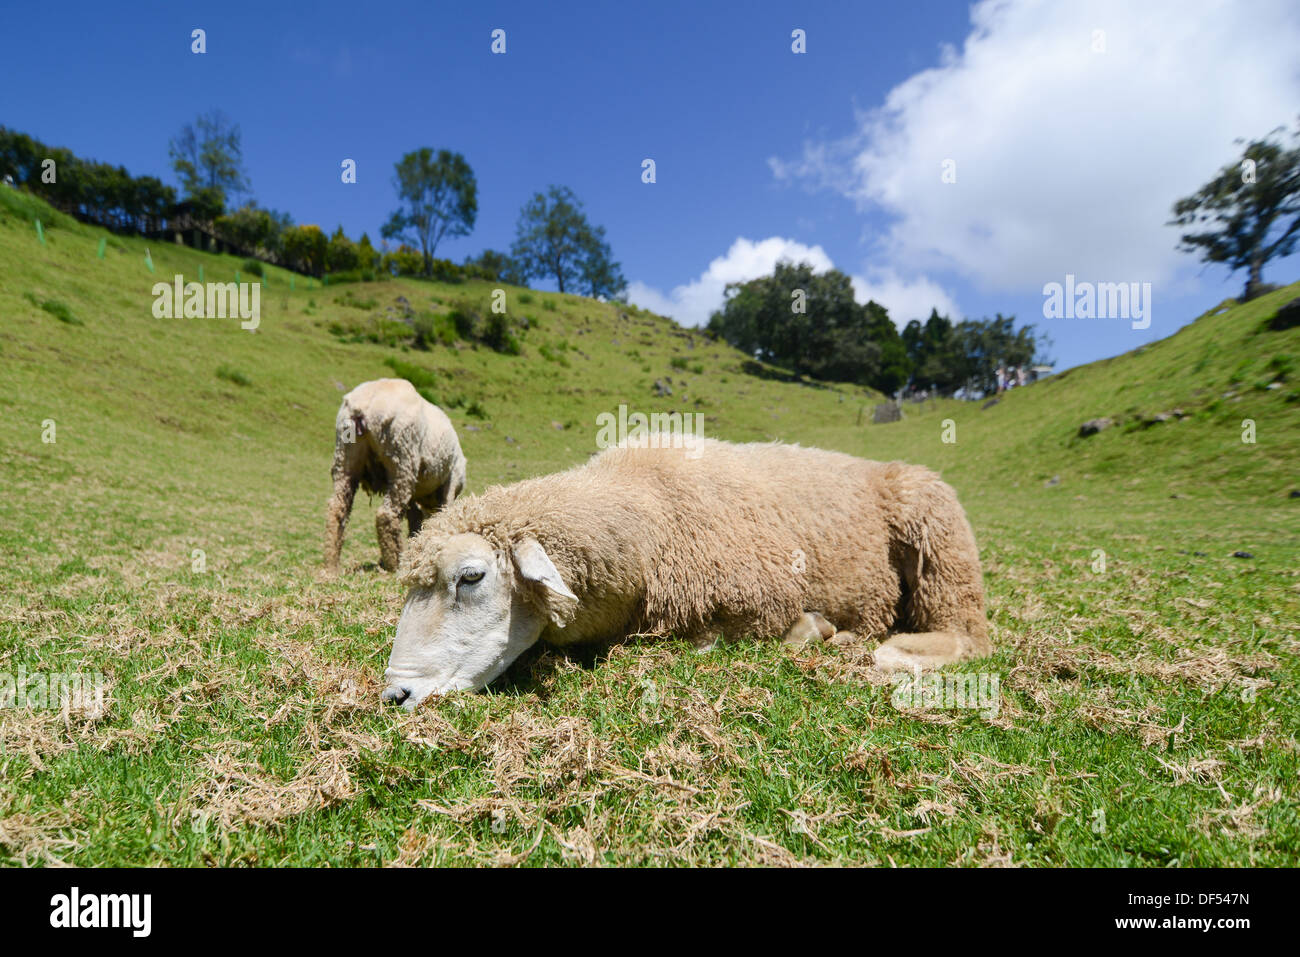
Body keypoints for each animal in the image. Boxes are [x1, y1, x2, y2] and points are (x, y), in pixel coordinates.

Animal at [324, 378, 466, 574]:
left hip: (345, 456)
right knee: (386, 514)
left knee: (337, 508)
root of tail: (363, 405)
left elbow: (415, 520)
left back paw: (331, 565)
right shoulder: (451, 481)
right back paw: (394, 562)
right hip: (403, 458)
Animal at [381, 436, 989, 708]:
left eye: (471, 577)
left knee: (969, 636)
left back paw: (887, 649)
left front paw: (814, 630)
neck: (646, 508)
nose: (394, 695)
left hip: (939, 539)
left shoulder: (751, 602)